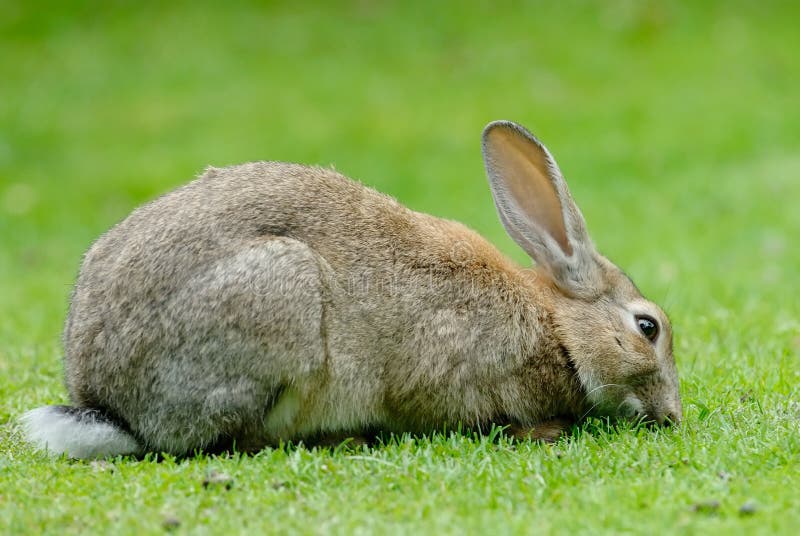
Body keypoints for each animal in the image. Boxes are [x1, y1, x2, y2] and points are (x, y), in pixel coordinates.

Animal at [20, 120, 681, 459]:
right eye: (647, 327)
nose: (672, 416)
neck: (559, 326)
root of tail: (107, 403)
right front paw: (543, 431)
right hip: (280, 299)